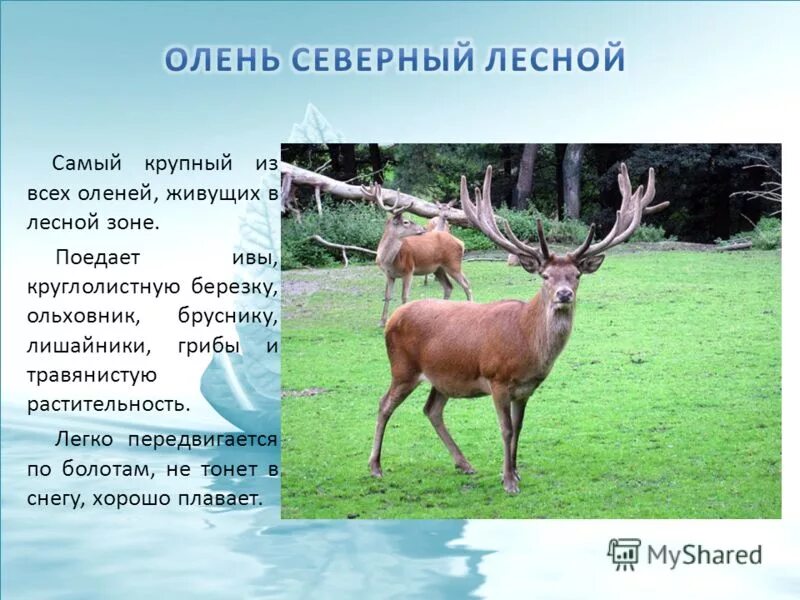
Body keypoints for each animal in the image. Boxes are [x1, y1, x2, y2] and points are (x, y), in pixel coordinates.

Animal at [362, 184, 473, 326]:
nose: (423, 229)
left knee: (466, 284)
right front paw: (382, 322)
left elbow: (404, 296)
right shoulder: (389, 274)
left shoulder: (409, 269)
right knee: (449, 287)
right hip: (438, 269)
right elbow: (387, 296)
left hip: (453, 264)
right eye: (406, 222)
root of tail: (461, 243)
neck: (388, 261)